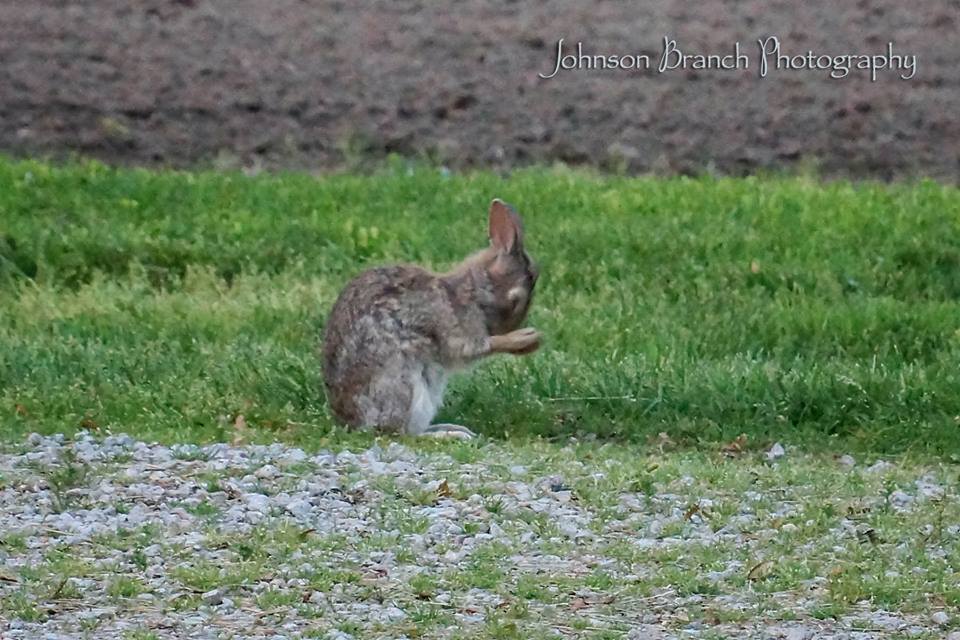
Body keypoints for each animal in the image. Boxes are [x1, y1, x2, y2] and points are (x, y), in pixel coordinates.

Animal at [321, 199, 540, 439]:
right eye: (517, 300)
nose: (511, 327)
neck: (472, 291)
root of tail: (350, 422)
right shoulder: (455, 329)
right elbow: (472, 349)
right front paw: (526, 339)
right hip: (404, 385)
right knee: (401, 432)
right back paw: (451, 435)